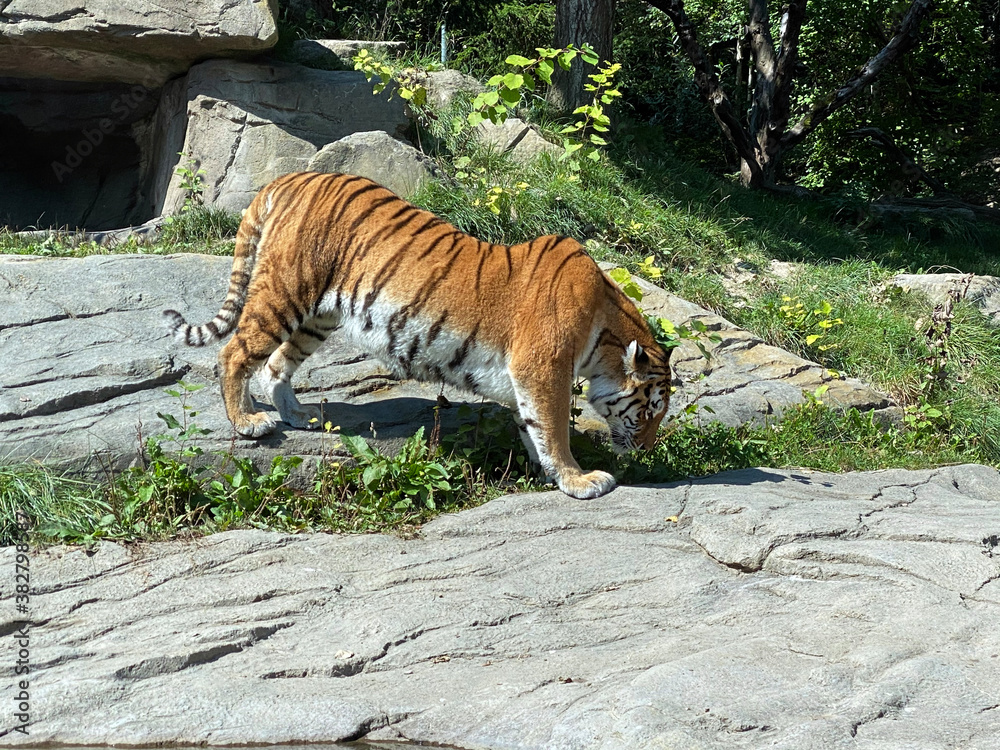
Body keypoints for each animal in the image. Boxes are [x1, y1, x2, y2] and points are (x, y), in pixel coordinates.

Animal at [164, 171, 672, 499]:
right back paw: (248, 422)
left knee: (275, 363)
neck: (603, 333)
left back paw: (298, 415)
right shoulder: (542, 367)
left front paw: (547, 472)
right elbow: (554, 427)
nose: (646, 450)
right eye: (649, 411)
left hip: (317, 316)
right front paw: (580, 479)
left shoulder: (523, 378)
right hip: (285, 292)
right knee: (234, 353)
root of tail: (287, 179)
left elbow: (534, 426)